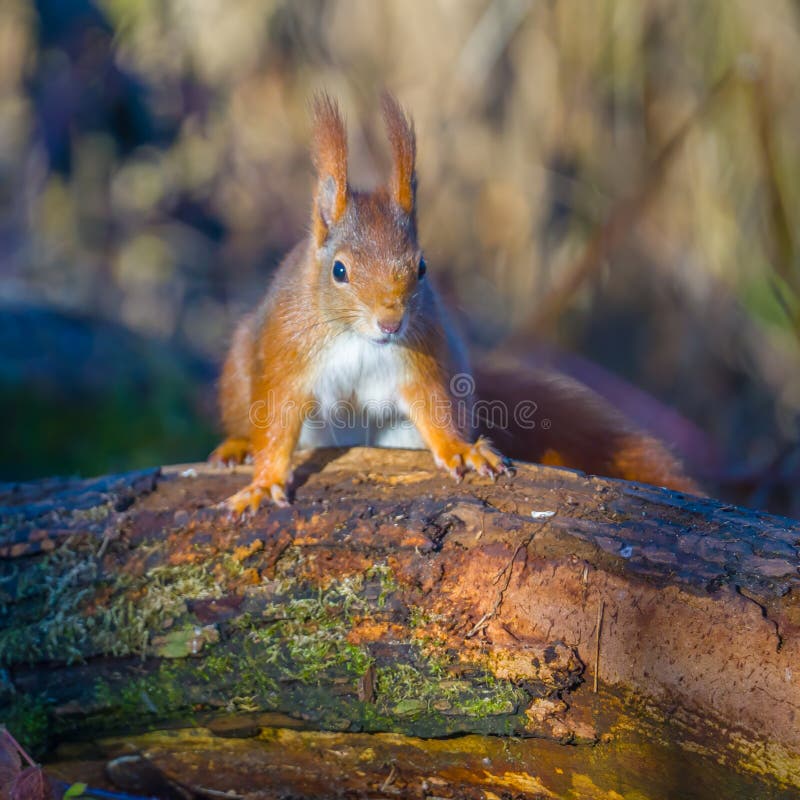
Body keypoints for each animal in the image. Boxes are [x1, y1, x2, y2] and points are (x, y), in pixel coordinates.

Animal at [210, 93, 699, 514]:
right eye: (339, 271)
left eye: (422, 267)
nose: (391, 323)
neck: (357, 340)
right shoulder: (289, 354)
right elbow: (277, 419)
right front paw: (262, 484)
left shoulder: (419, 359)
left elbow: (433, 404)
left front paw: (461, 450)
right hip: (239, 366)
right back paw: (237, 446)